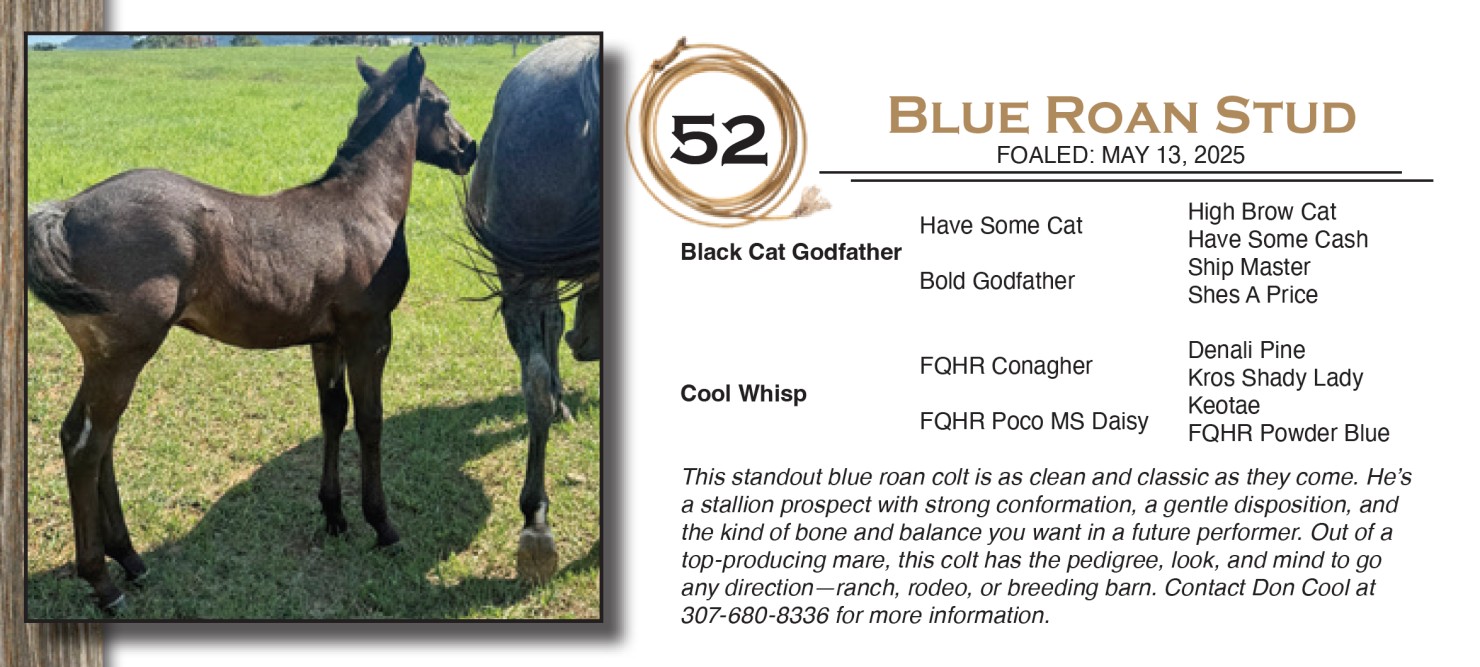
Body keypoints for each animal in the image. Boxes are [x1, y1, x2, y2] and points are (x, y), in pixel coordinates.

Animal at [25, 47, 476, 612]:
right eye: (443, 104)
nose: (470, 149)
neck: (362, 205)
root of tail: (65, 214)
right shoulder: (371, 333)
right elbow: (370, 421)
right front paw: (382, 525)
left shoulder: (326, 340)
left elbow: (333, 414)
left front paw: (334, 514)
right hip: (123, 357)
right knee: (87, 446)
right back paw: (103, 582)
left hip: (104, 361)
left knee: (89, 438)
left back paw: (129, 558)